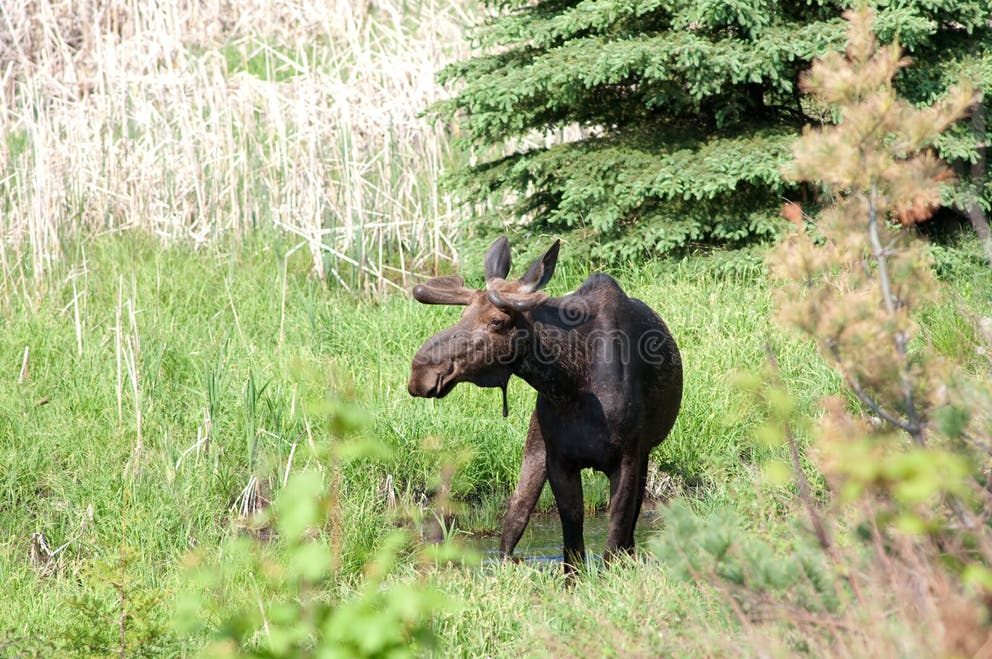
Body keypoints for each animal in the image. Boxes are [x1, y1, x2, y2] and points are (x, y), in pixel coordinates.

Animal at [407, 236, 683, 572]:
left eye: (496, 321)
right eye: (463, 315)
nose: (420, 371)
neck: (570, 383)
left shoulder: (628, 456)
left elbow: (615, 535)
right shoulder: (558, 460)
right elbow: (572, 541)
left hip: (642, 452)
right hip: (535, 445)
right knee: (512, 524)